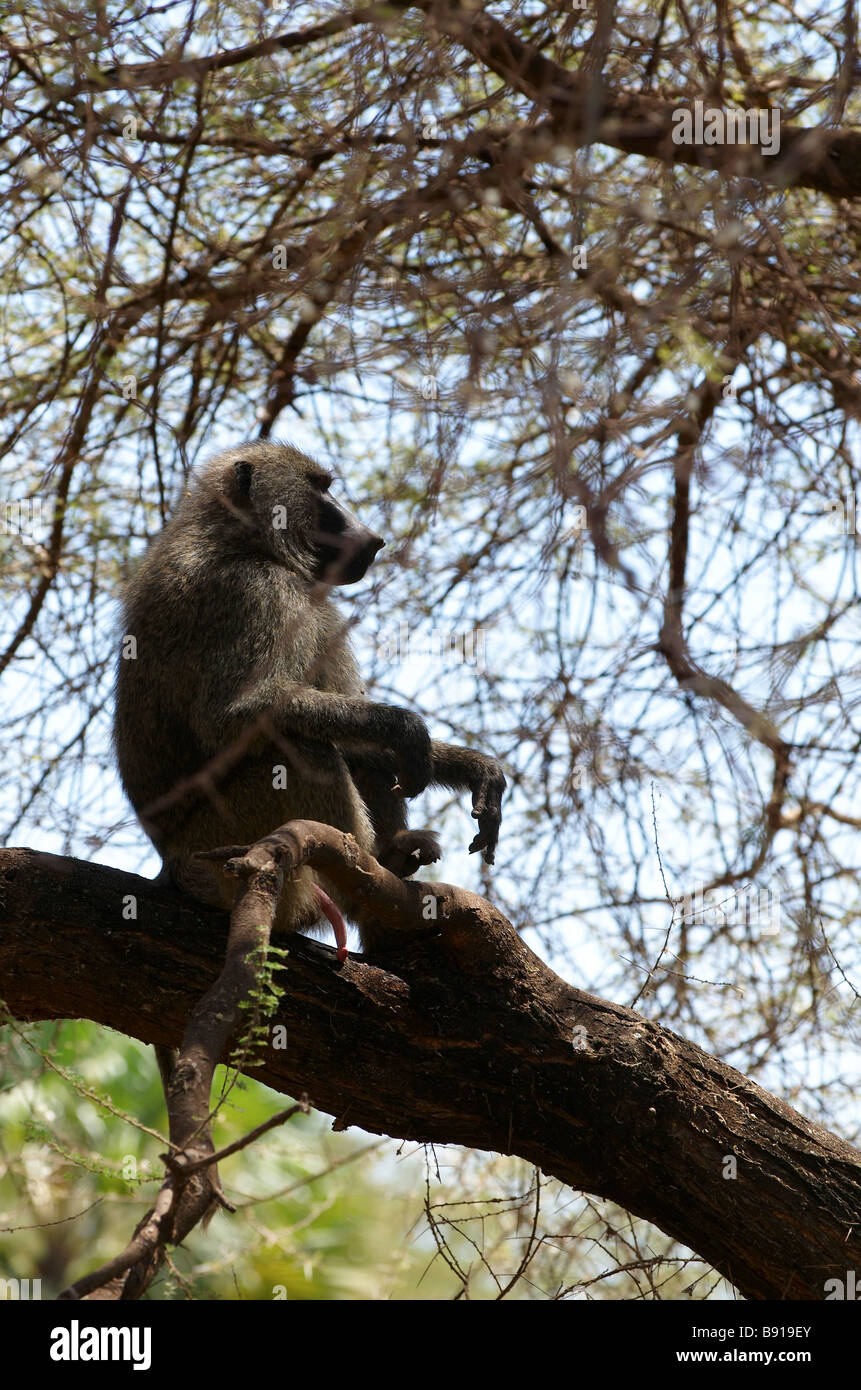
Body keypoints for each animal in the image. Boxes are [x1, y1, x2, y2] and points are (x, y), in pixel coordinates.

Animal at [114, 441, 506, 961]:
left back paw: (394, 853)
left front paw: (473, 767)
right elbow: (232, 715)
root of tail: (171, 870)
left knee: (356, 747)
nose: (372, 538)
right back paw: (368, 878)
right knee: (299, 747)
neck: (238, 536)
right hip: (220, 856)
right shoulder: (256, 590)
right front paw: (406, 726)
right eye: (319, 488)